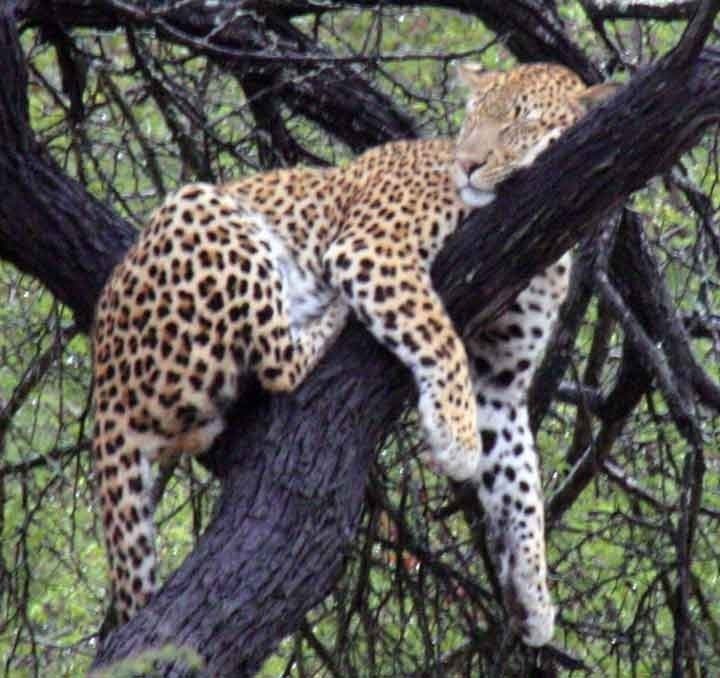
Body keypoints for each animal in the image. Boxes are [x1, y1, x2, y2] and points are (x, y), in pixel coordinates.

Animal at [91, 61, 616, 646]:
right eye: (472, 120)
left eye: (519, 124)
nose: (467, 163)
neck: (548, 255)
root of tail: (104, 379)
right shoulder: (373, 249)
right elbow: (439, 335)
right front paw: (457, 440)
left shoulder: (500, 382)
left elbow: (522, 485)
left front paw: (535, 594)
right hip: (205, 206)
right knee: (276, 362)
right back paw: (329, 315)